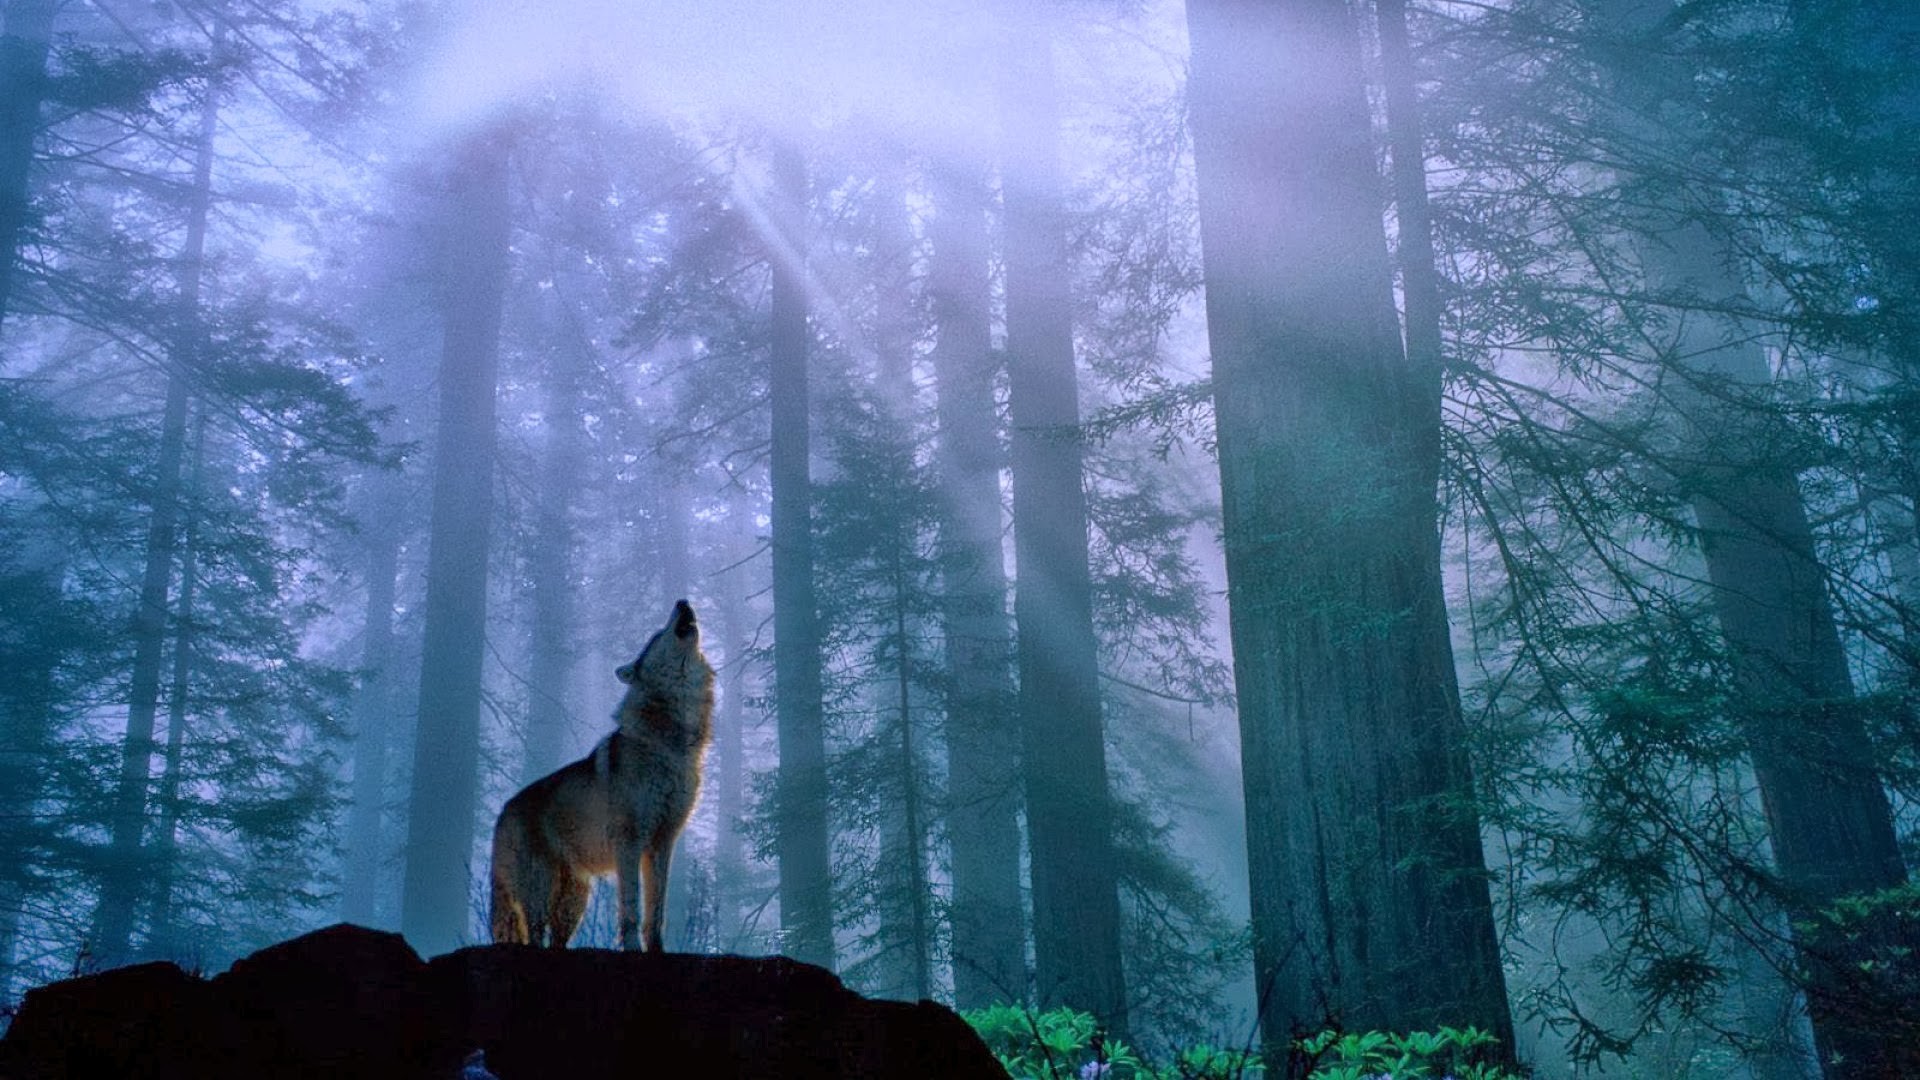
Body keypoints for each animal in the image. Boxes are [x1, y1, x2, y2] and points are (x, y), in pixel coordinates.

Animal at [489, 599, 715, 951]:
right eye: (656, 636)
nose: (682, 601)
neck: (669, 742)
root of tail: (503, 810)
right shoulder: (629, 843)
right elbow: (631, 907)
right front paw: (634, 949)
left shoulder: (663, 843)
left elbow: (656, 910)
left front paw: (657, 951)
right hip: (539, 891)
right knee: (534, 935)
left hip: (574, 901)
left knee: (555, 941)